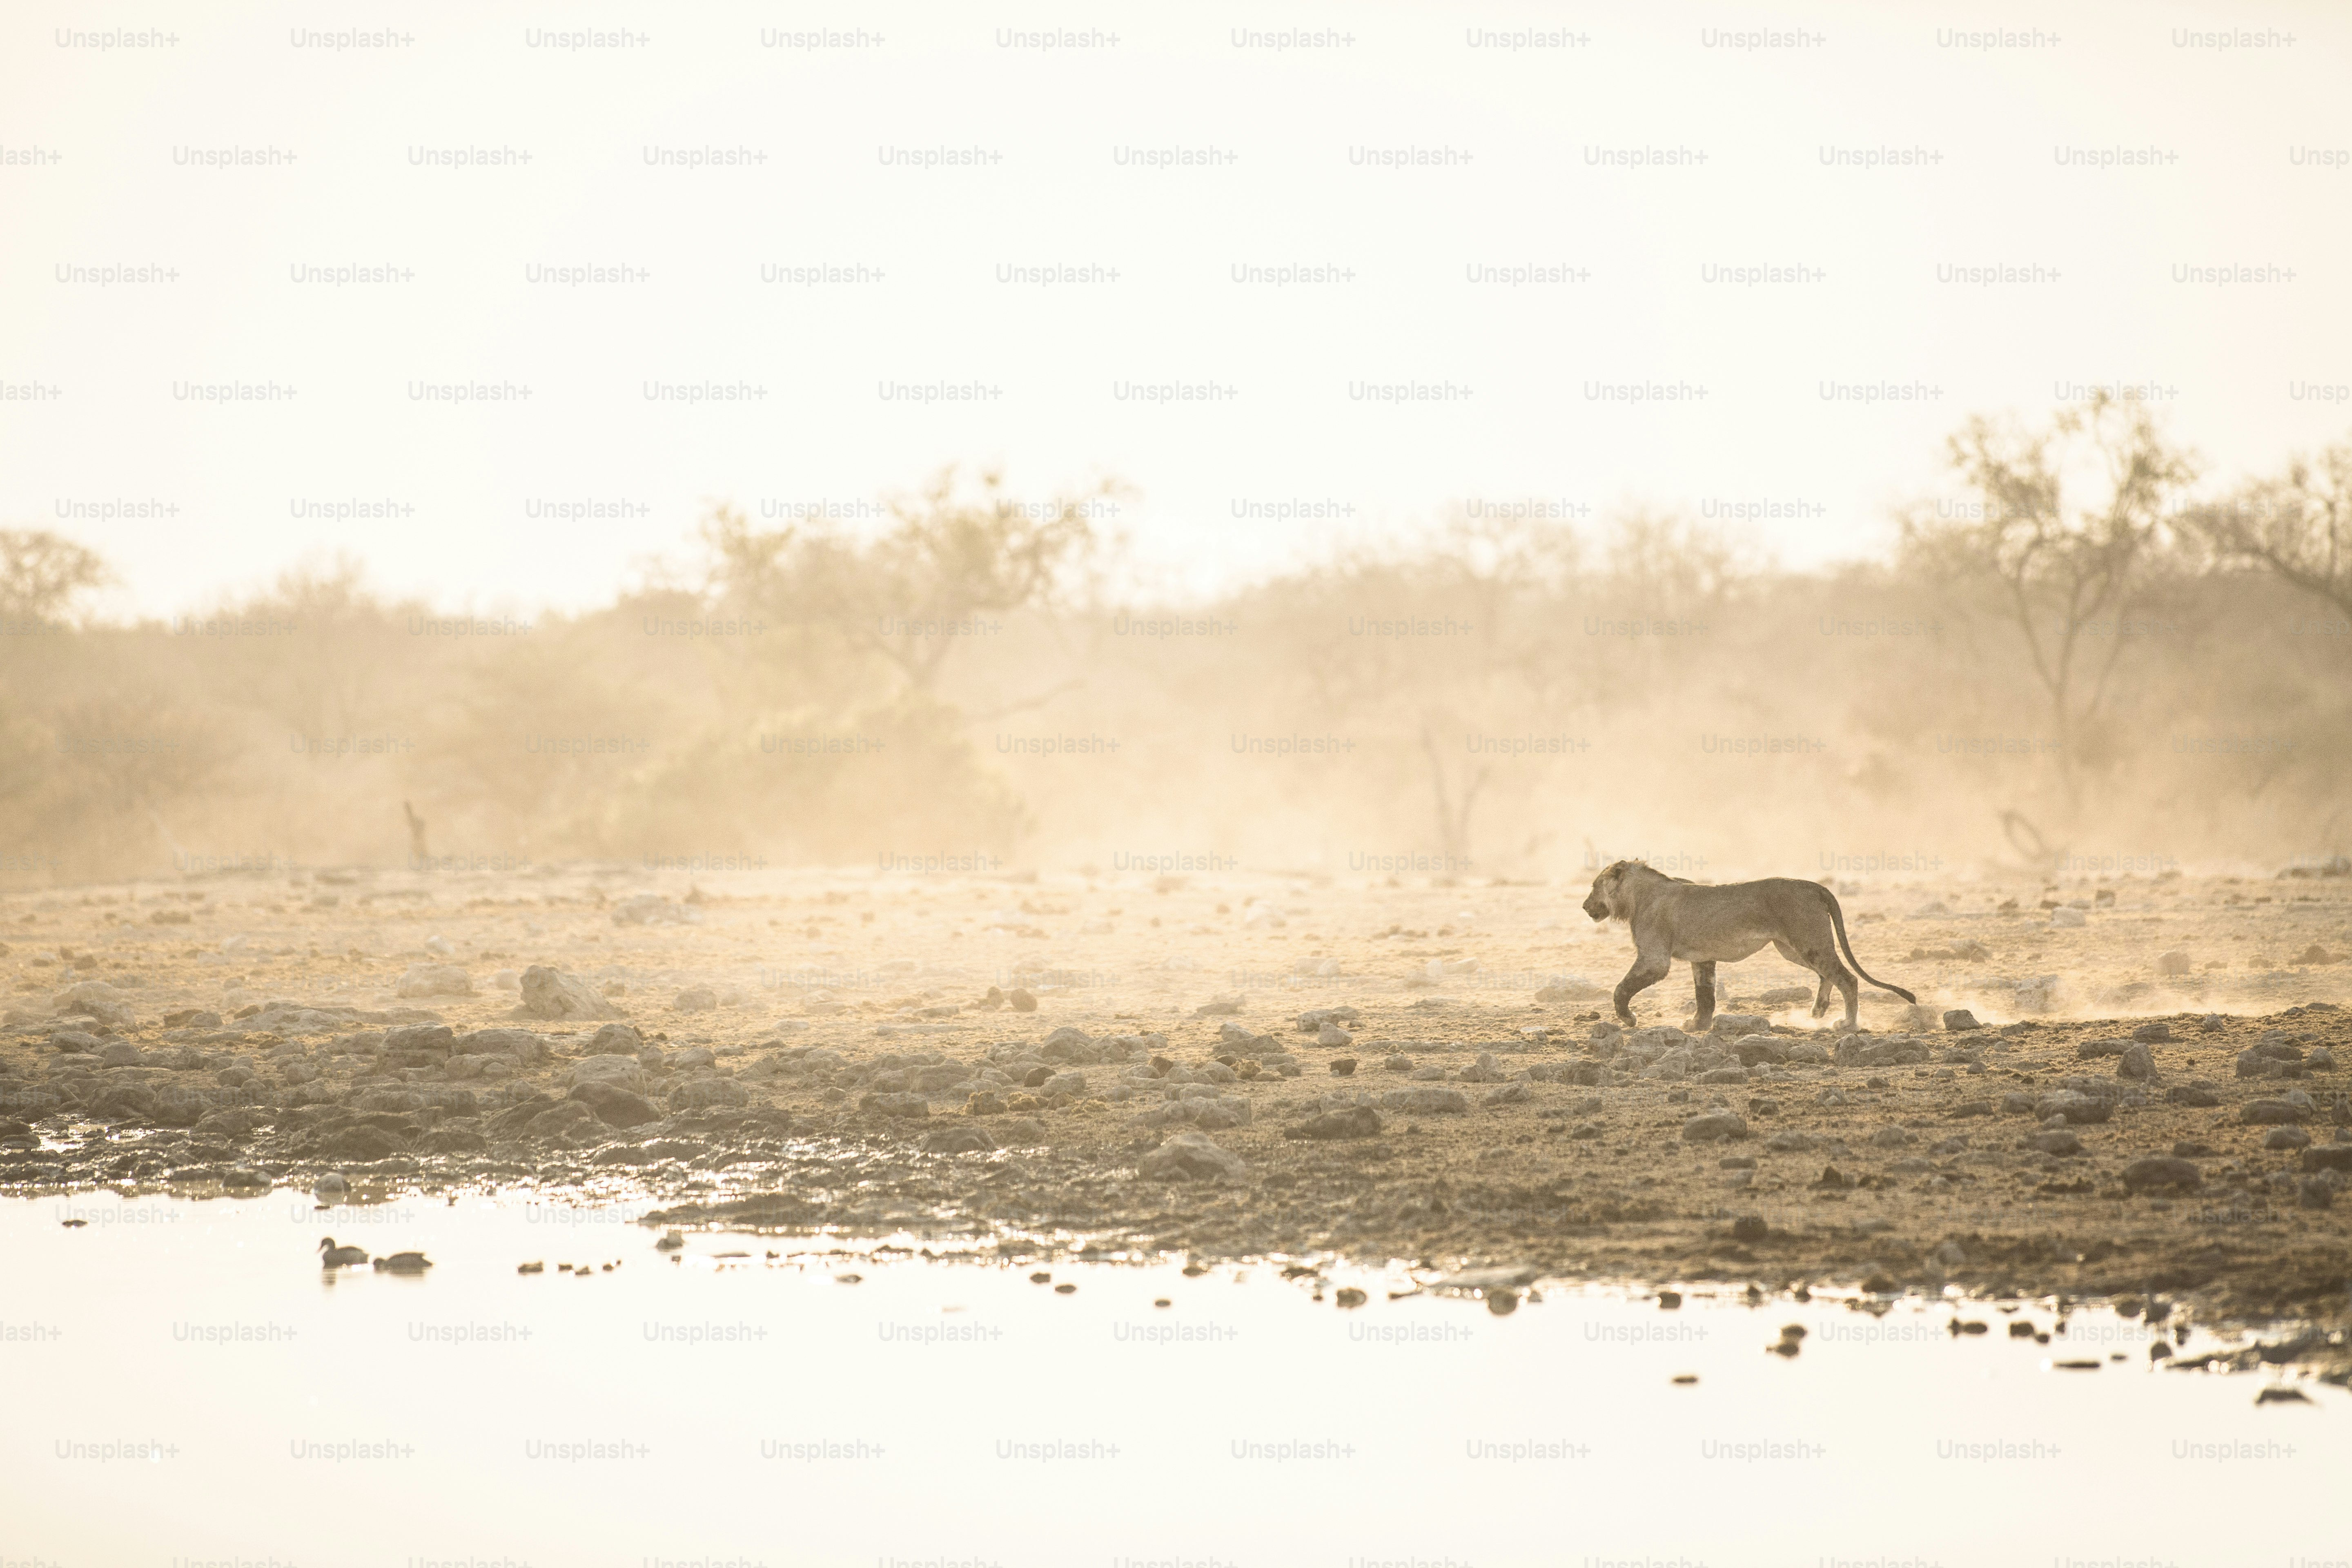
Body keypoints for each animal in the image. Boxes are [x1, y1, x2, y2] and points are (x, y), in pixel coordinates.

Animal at [1580, 860, 1915, 1030]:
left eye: (1594, 887)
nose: (1585, 907)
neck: (1636, 898)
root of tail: (1814, 886)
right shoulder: (1703, 958)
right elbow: (1705, 996)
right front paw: (1698, 1025)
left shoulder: (1654, 959)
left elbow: (1621, 989)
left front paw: (1629, 1019)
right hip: (1792, 948)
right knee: (1827, 975)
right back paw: (1817, 1013)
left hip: (1807, 943)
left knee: (1847, 978)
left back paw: (1846, 1024)